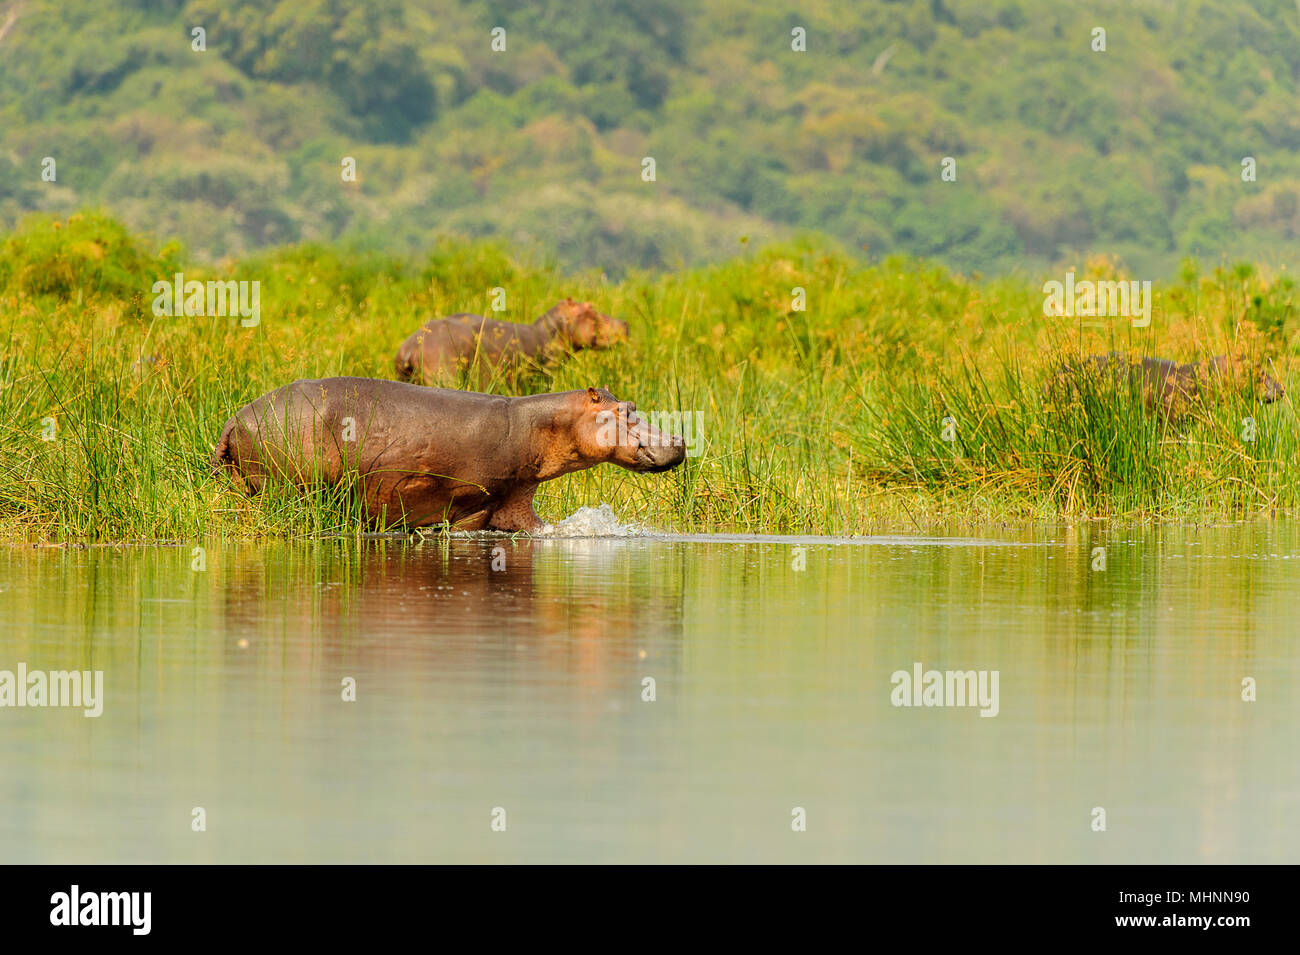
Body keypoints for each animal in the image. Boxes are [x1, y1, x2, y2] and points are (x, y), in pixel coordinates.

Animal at [210, 377, 685, 532]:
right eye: (623, 411)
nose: (680, 441)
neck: (545, 425)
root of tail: (234, 418)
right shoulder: (474, 503)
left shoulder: (515, 498)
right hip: (284, 487)